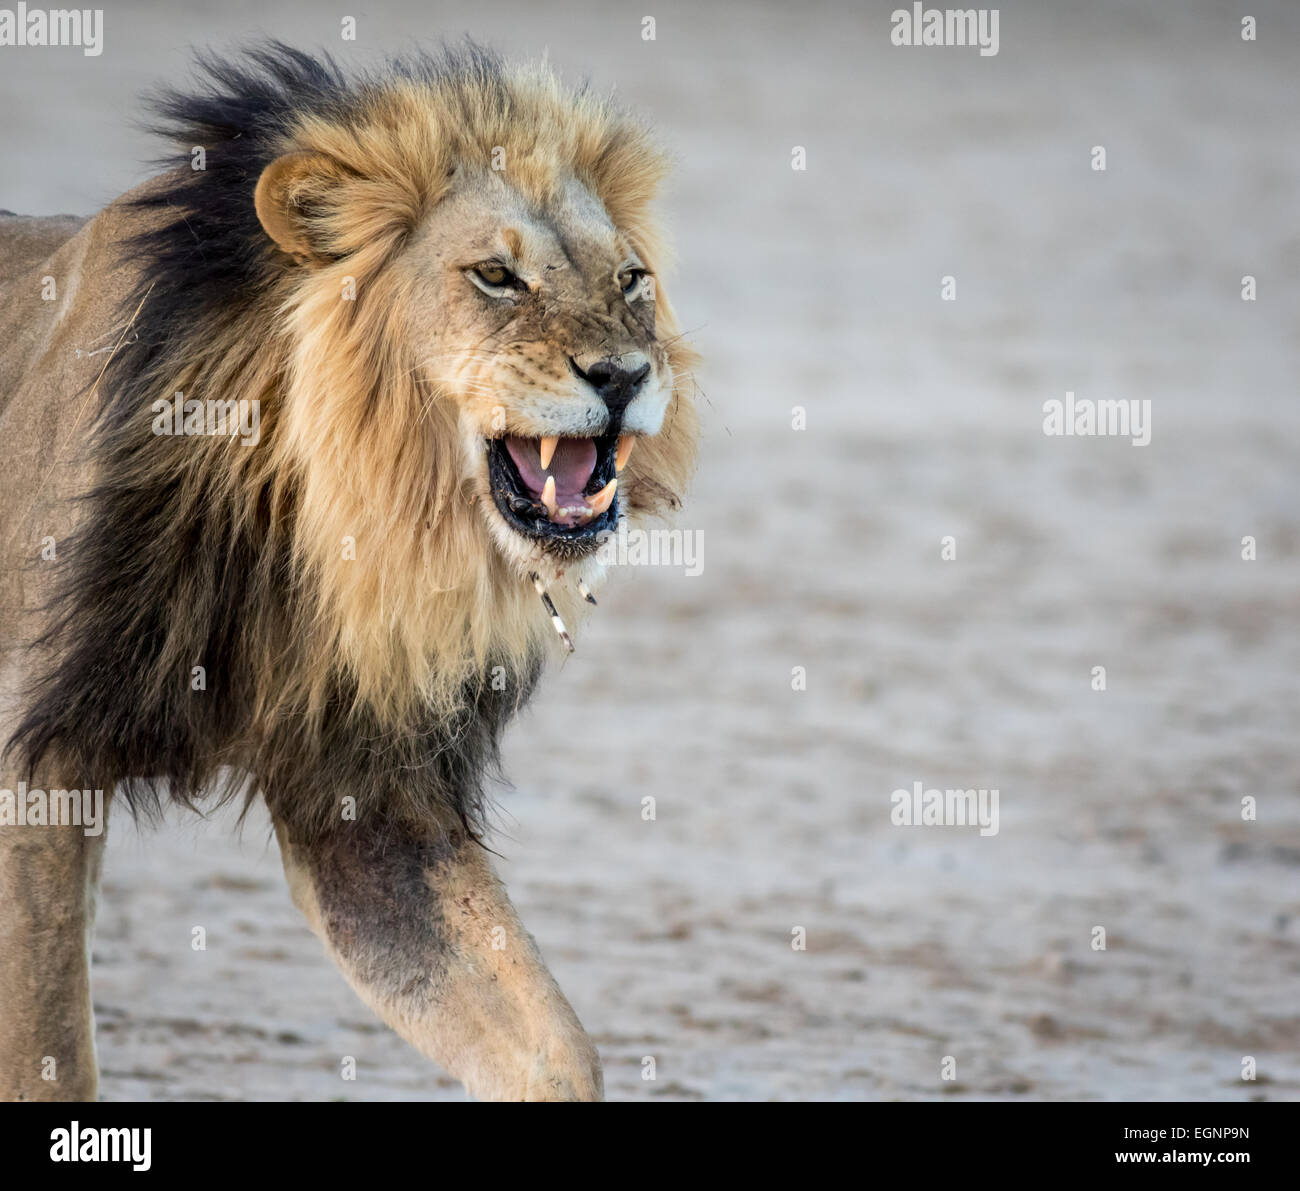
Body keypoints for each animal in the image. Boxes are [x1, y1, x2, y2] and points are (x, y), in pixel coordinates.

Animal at [0, 43, 697, 1102]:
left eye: (631, 279)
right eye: (497, 275)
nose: (623, 375)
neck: (321, 510)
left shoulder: (368, 807)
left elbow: (551, 1045)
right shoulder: (34, 771)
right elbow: (49, 1053)